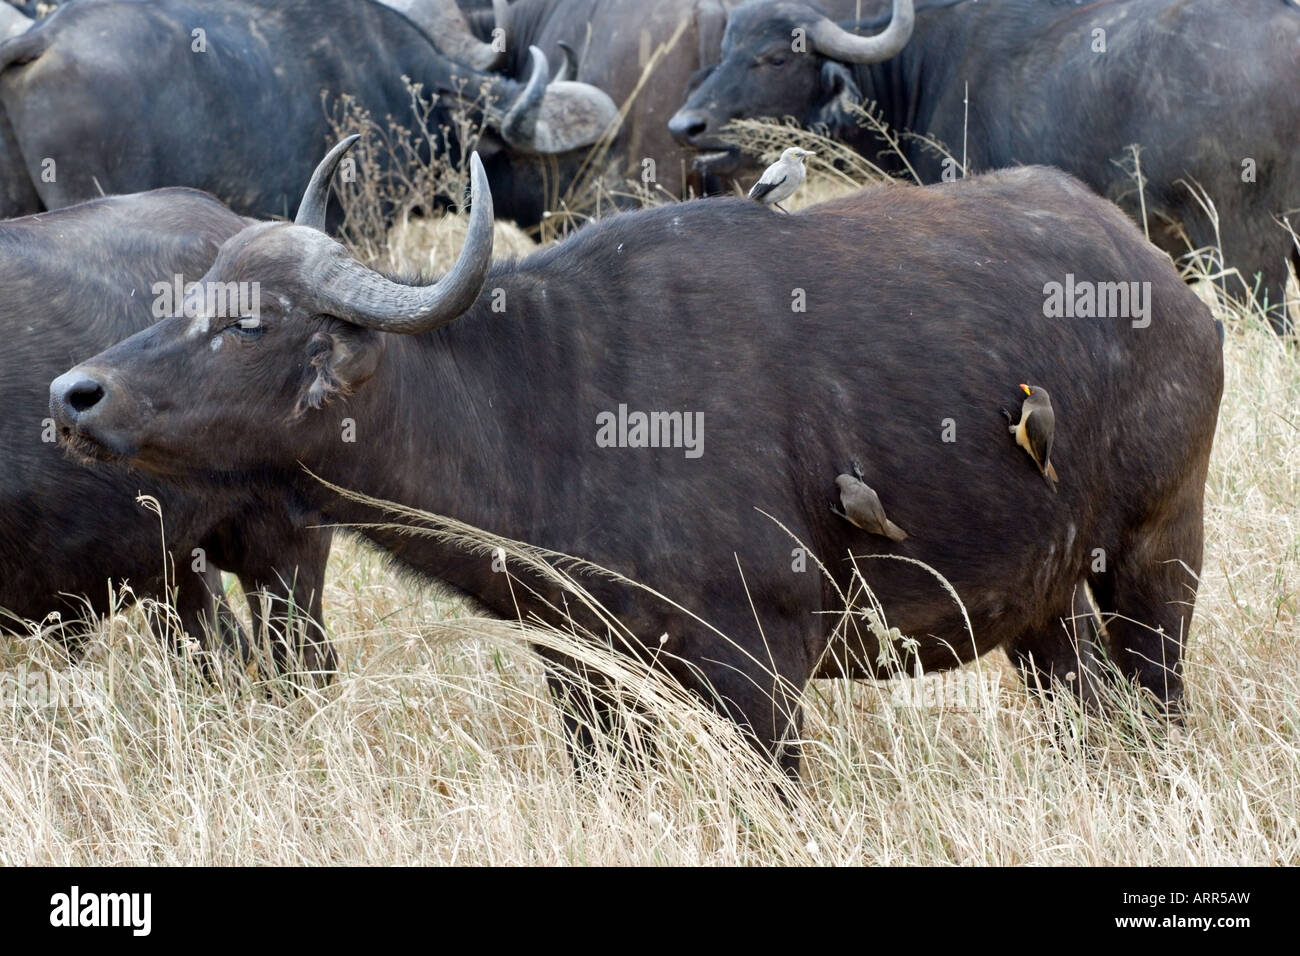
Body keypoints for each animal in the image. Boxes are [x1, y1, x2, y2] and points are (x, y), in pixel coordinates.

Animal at [52, 141, 1222, 774]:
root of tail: (1163, 288)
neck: (549, 402)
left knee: (1160, 699)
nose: (75, 394)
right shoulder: (583, 670)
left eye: (247, 322)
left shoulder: (760, 670)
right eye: (192, 294)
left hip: (1157, 561)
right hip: (1045, 611)